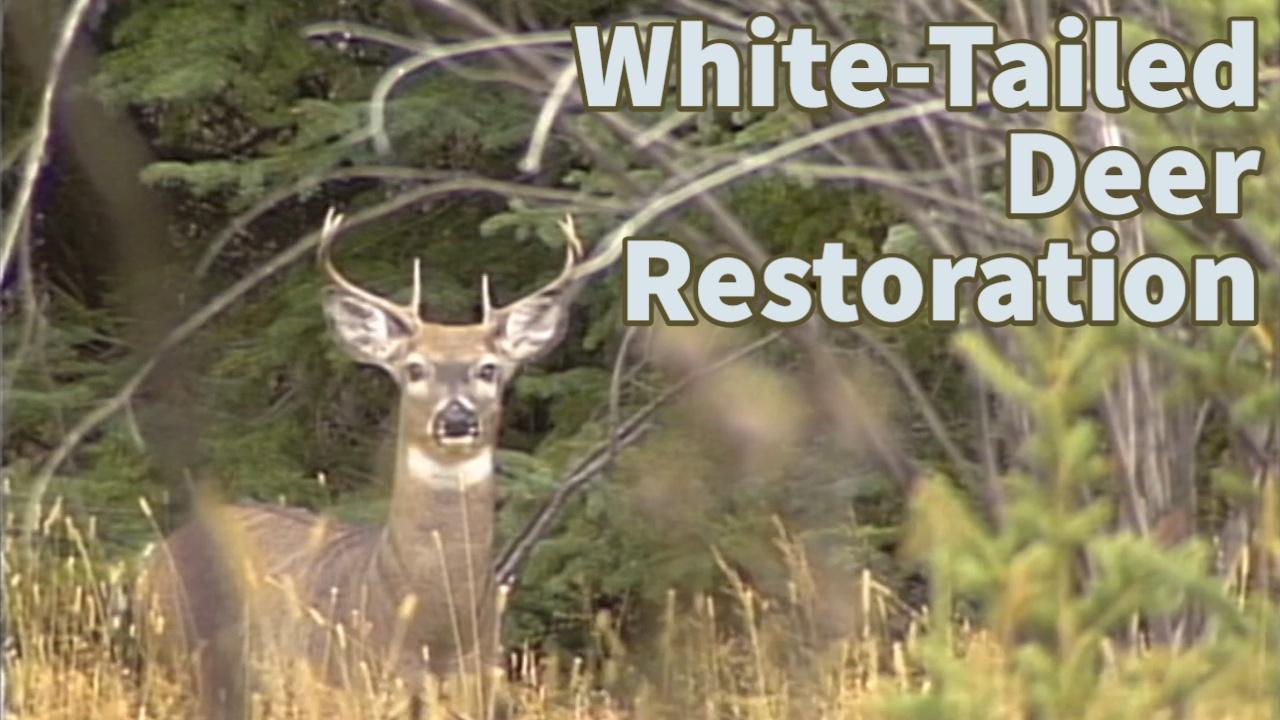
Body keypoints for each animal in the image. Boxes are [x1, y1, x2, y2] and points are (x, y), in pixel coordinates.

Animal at [137, 209, 588, 717]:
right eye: (415, 368)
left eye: (489, 368)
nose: (456, 418)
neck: (429, 633)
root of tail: (157, 553)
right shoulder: (349, 687)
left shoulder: (474, 689)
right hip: (175, 667)